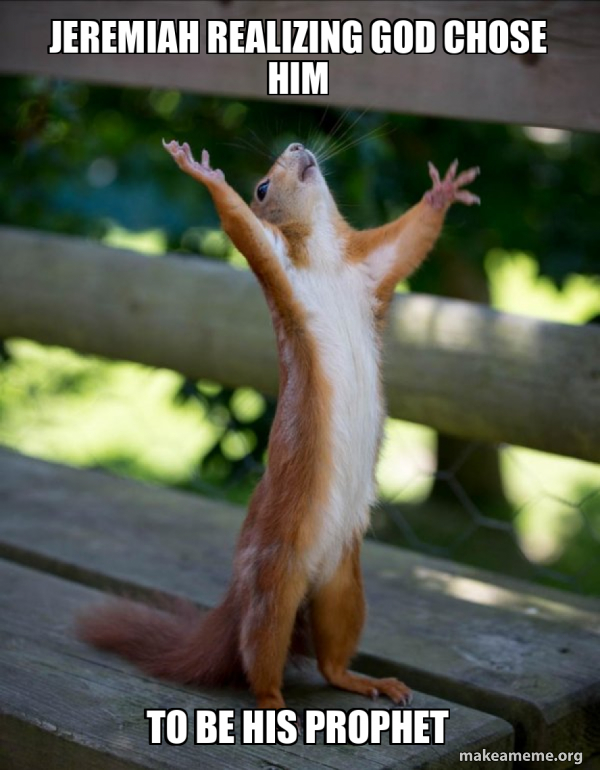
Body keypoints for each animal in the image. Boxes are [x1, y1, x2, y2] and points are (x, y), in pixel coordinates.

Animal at [78, 139, 479, 710]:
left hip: (344, 586)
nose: (296, 146)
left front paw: (442, 192)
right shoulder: (277, 264)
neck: (327, 258)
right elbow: (240, 225)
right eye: (262, 187)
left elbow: (410, 240)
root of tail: (238, 596)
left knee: (332, 659)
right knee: (259, 655)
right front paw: (204, 173)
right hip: (274, 583)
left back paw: (366, 680)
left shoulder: (372, 267)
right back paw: (273, 702)